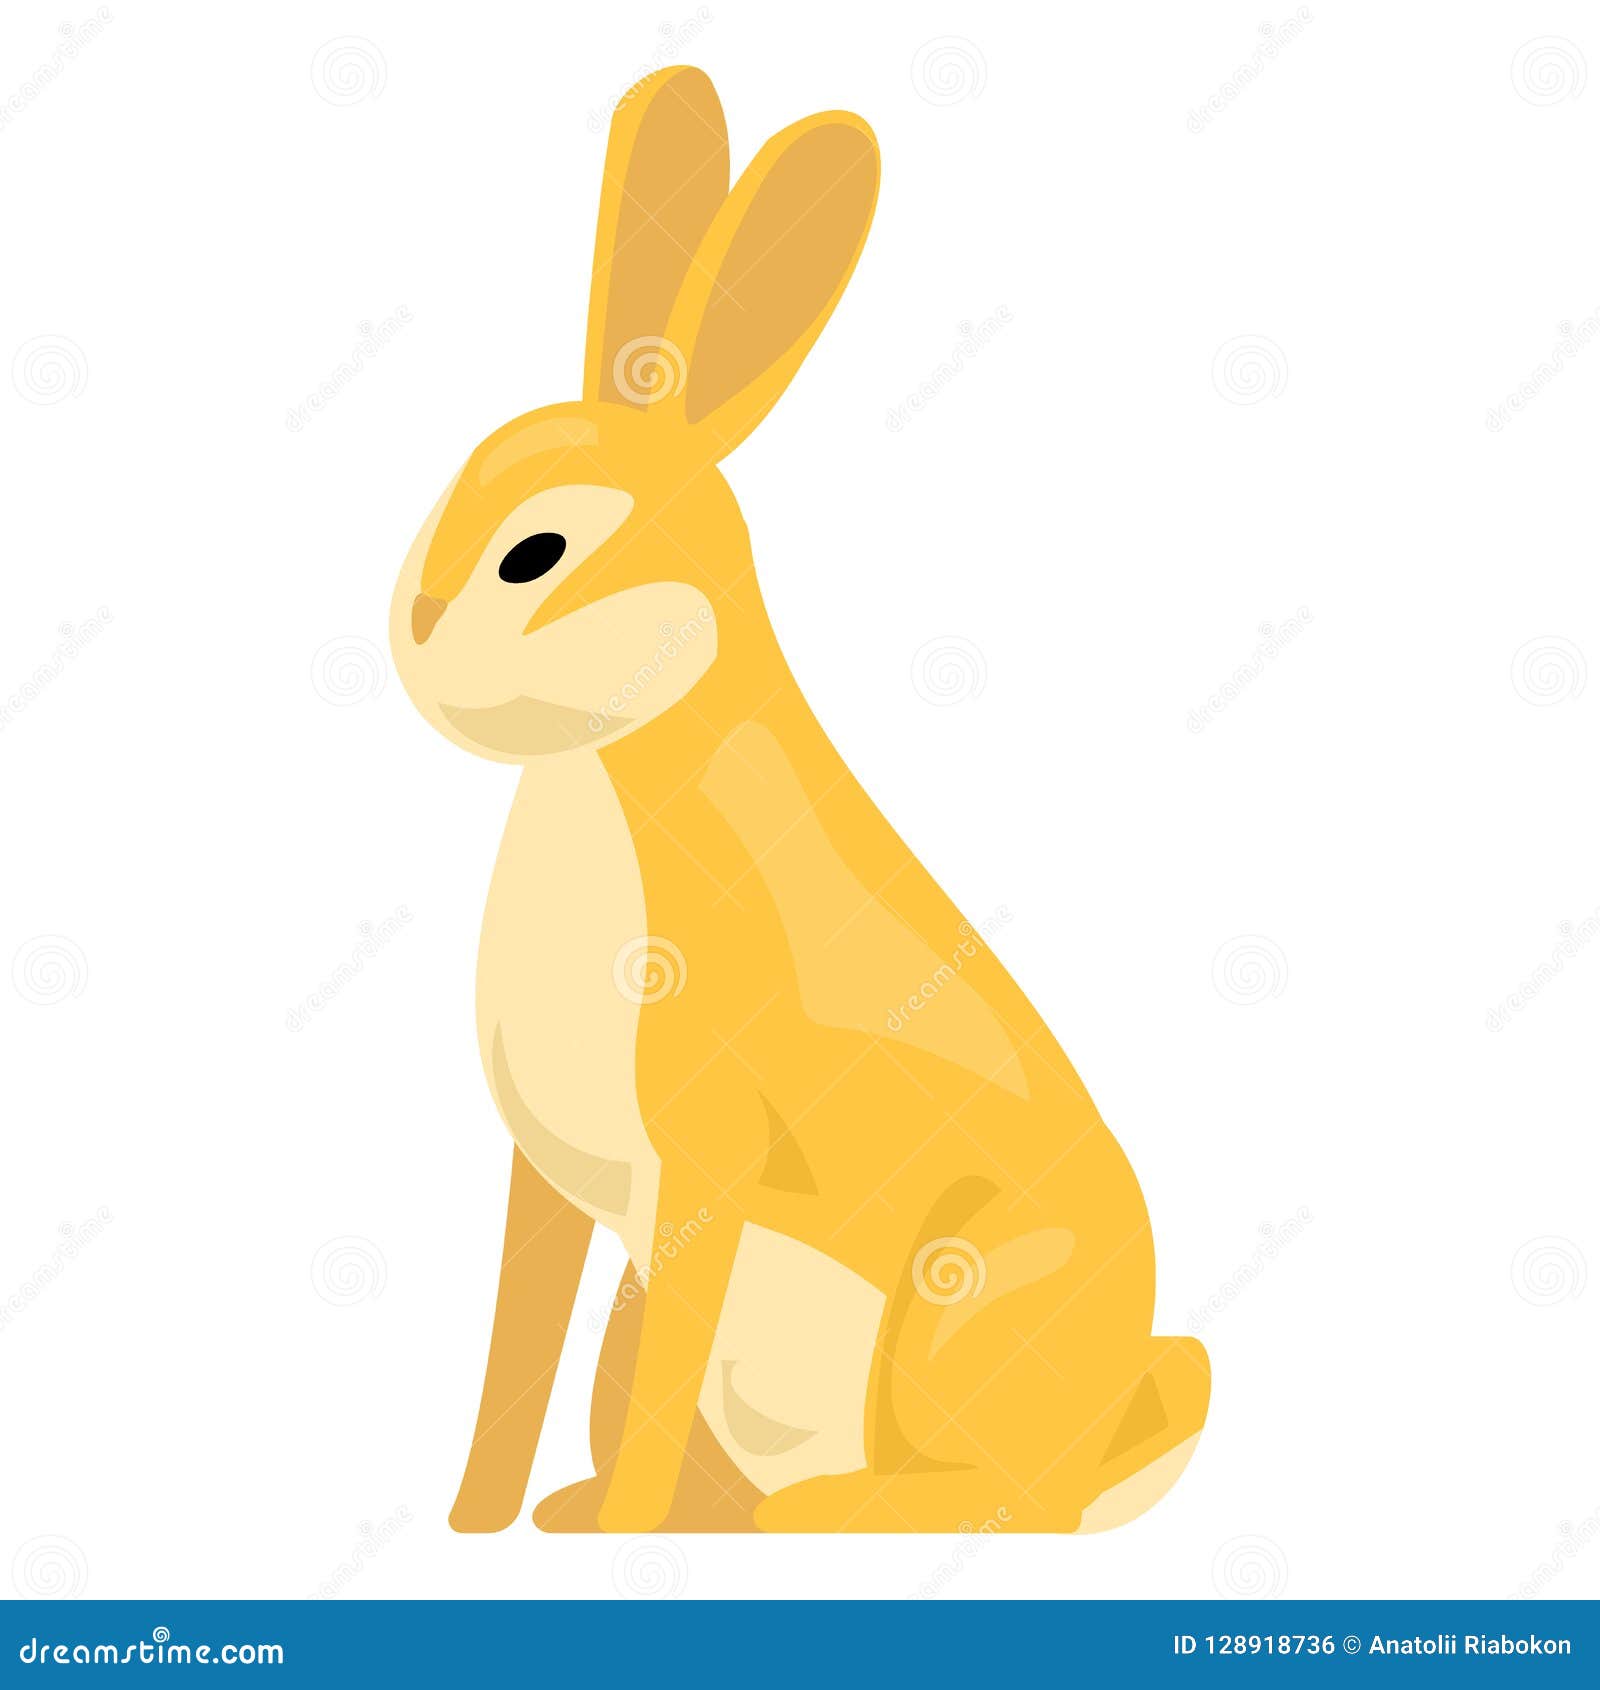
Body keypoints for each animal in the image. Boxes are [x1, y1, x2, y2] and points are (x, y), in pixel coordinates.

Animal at [389, 65, 1209, 1535]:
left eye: (536, 553)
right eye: (446, 494)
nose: (412, 642)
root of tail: (1125, 1423)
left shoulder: (702, 1167)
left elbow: (639, 1374)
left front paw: (622, 1540)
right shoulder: (547, 1179)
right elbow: (513, 1350)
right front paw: (475, 1523)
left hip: (959, 1312)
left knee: (1009, 1501)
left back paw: (808, 1513)